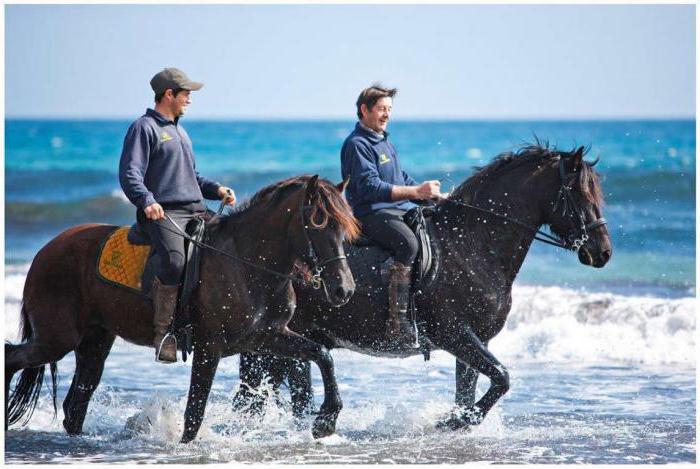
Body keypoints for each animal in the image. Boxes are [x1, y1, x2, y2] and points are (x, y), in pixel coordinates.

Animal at [6, 175, 360, 442]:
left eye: (344, 229)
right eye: (318, 225)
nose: (344, 289)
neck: (246, 263)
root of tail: (47, 249)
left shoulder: (266, 337)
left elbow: (321, 355)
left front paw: (326, 421)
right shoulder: (209, 347)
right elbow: (194, 412)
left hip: (94, 341)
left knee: (76, 404)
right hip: (56, 338)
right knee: (14, 359)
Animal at [232, 144, 608, 432]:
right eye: (579, 193)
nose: (603, 252)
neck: (472, 245)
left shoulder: (476, 339)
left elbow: (469, 389)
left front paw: (458, 421)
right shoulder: (455, 334)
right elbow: (502, 377)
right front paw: (454, 422)